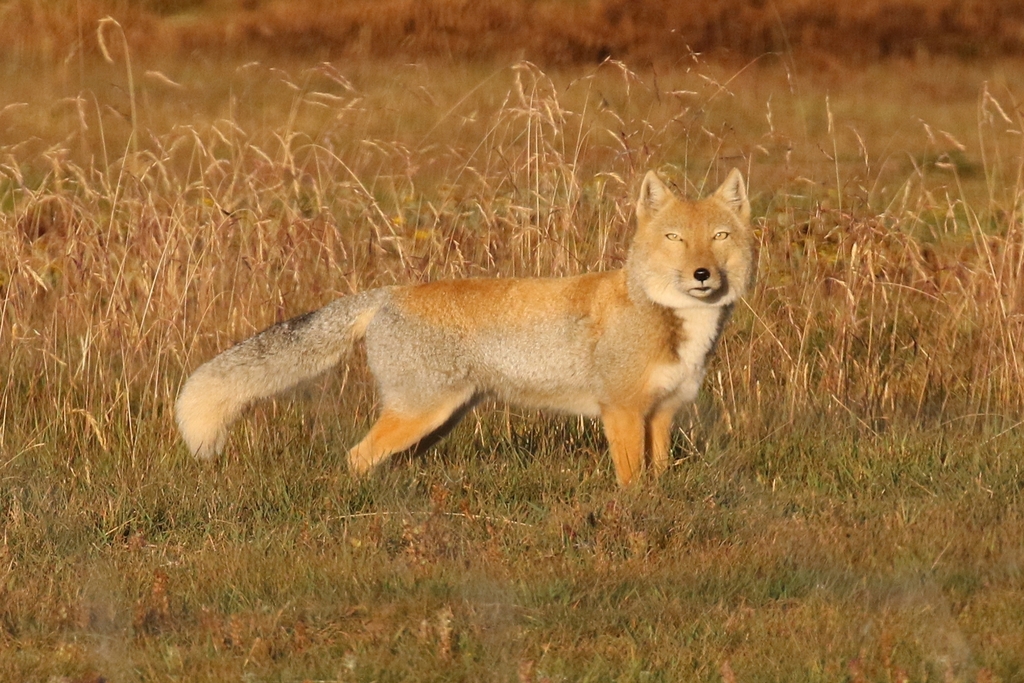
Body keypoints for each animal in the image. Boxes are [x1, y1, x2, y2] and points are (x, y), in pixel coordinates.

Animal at [175, 169, 755, 486]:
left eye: (720, 236)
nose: (702, 274)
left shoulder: (661, 414)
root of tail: (390, 293)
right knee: (356, 458)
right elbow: (632, 484)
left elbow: (658, 478)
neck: (669, 320)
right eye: (675, 238)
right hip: (421, 414)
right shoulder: (623, 412)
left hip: (435, 423)